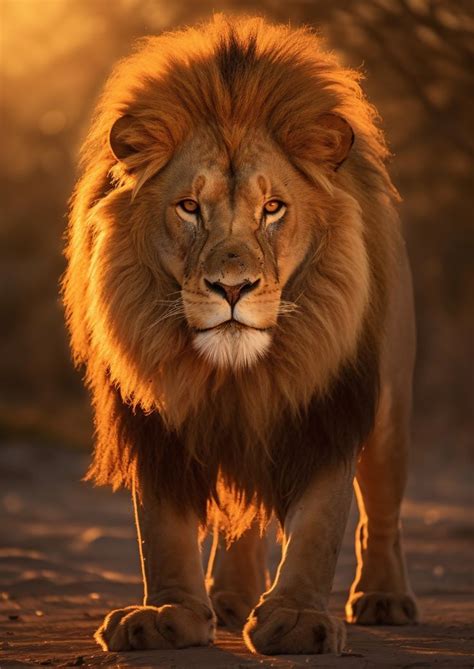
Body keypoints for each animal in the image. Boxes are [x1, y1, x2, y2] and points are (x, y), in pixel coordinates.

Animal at [62, 15, 418, 655]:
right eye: (188, 207)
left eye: (273, 207)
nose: (233, 287)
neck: (236, 373)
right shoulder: (156, 412)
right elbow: (161, 528)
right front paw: (168, 613)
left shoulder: (327, 405)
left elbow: (321, 523)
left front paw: (298, 618)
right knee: (241, 517)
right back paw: (229, 598)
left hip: (390, 408)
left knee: (381, 510)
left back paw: (383, 598)